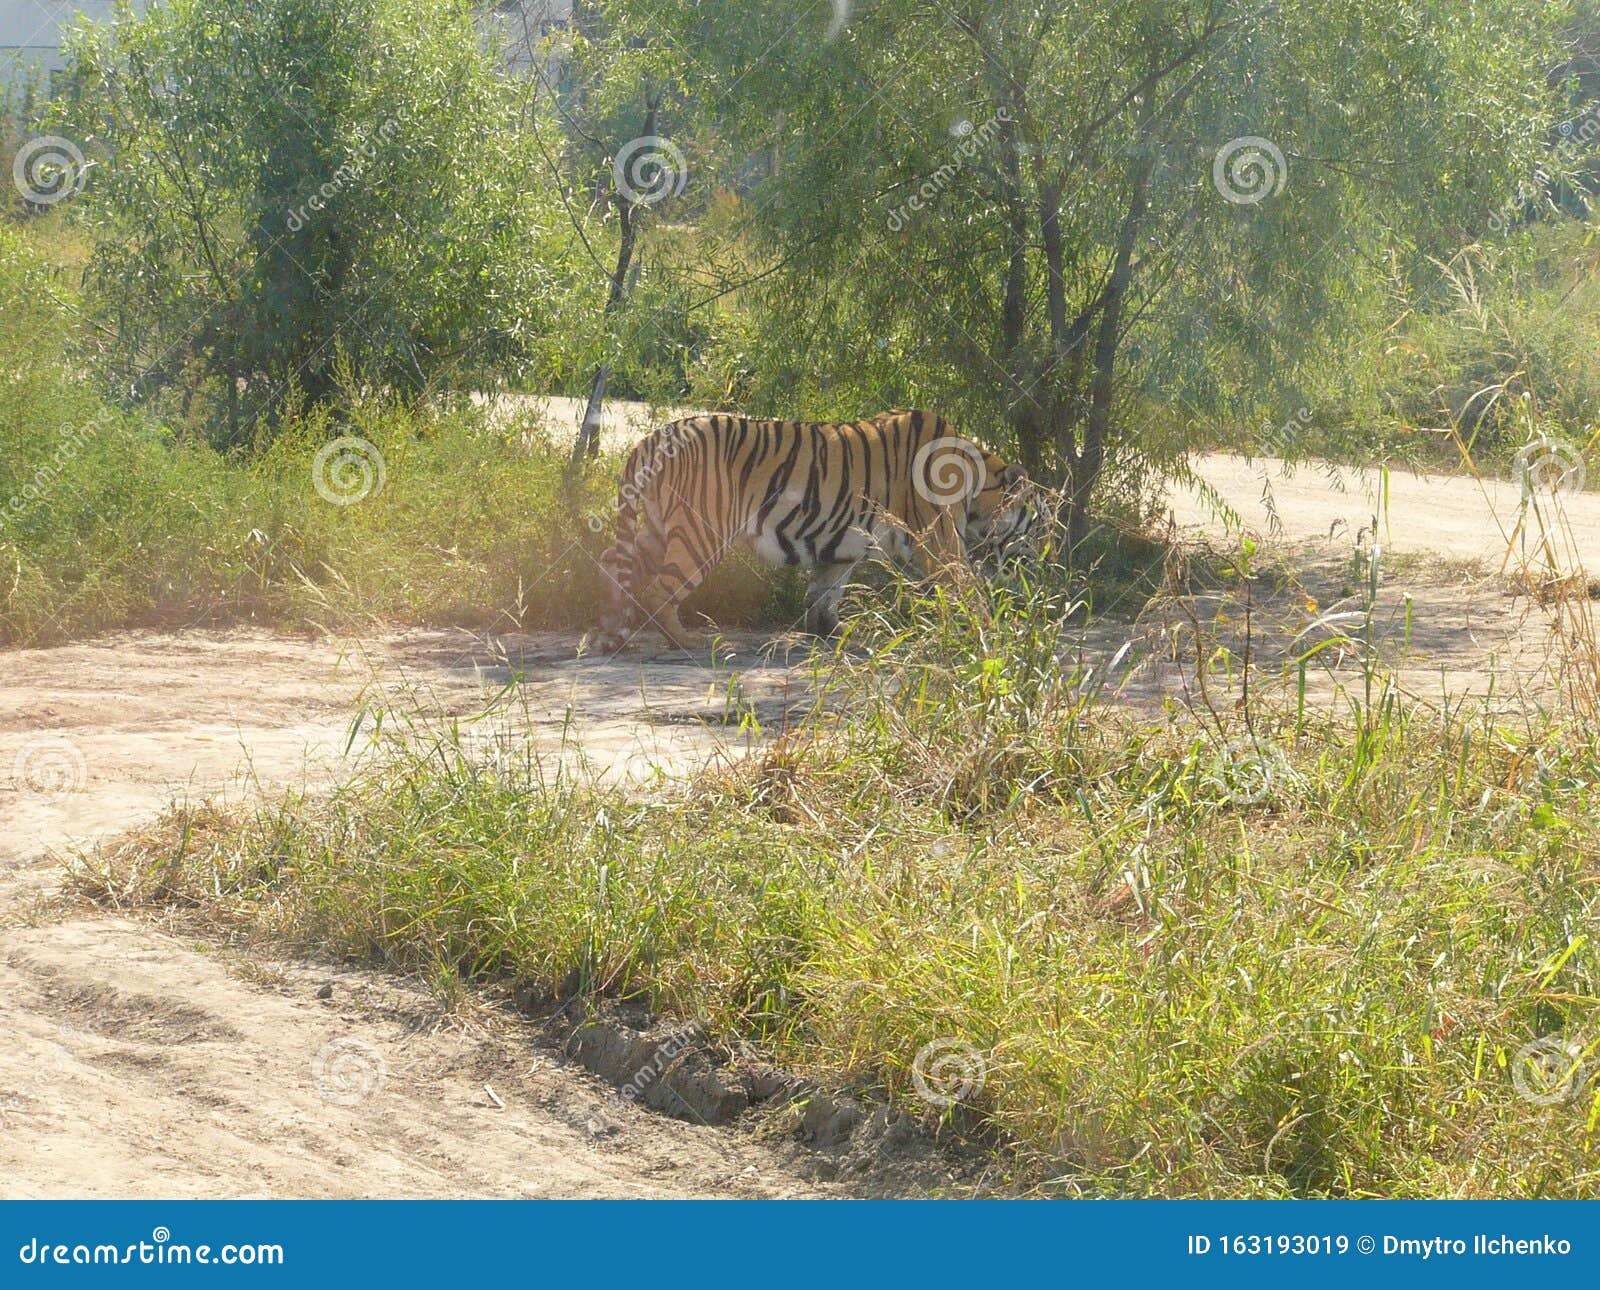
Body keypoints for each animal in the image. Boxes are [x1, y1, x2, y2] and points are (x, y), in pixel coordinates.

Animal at [586, 409, 1035, 653]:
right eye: (1040, 516)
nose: (1042, 553)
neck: (978, 481)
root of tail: (649, 439)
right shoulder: (940, 541)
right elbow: (967, 586)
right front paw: (993, 630)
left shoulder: (844, 545)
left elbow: (825, 591)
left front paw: (831, 631)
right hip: (700, 532)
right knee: (658, 589)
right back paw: (686, 641)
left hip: (658, 527)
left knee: (611, 561)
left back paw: (610, 629)